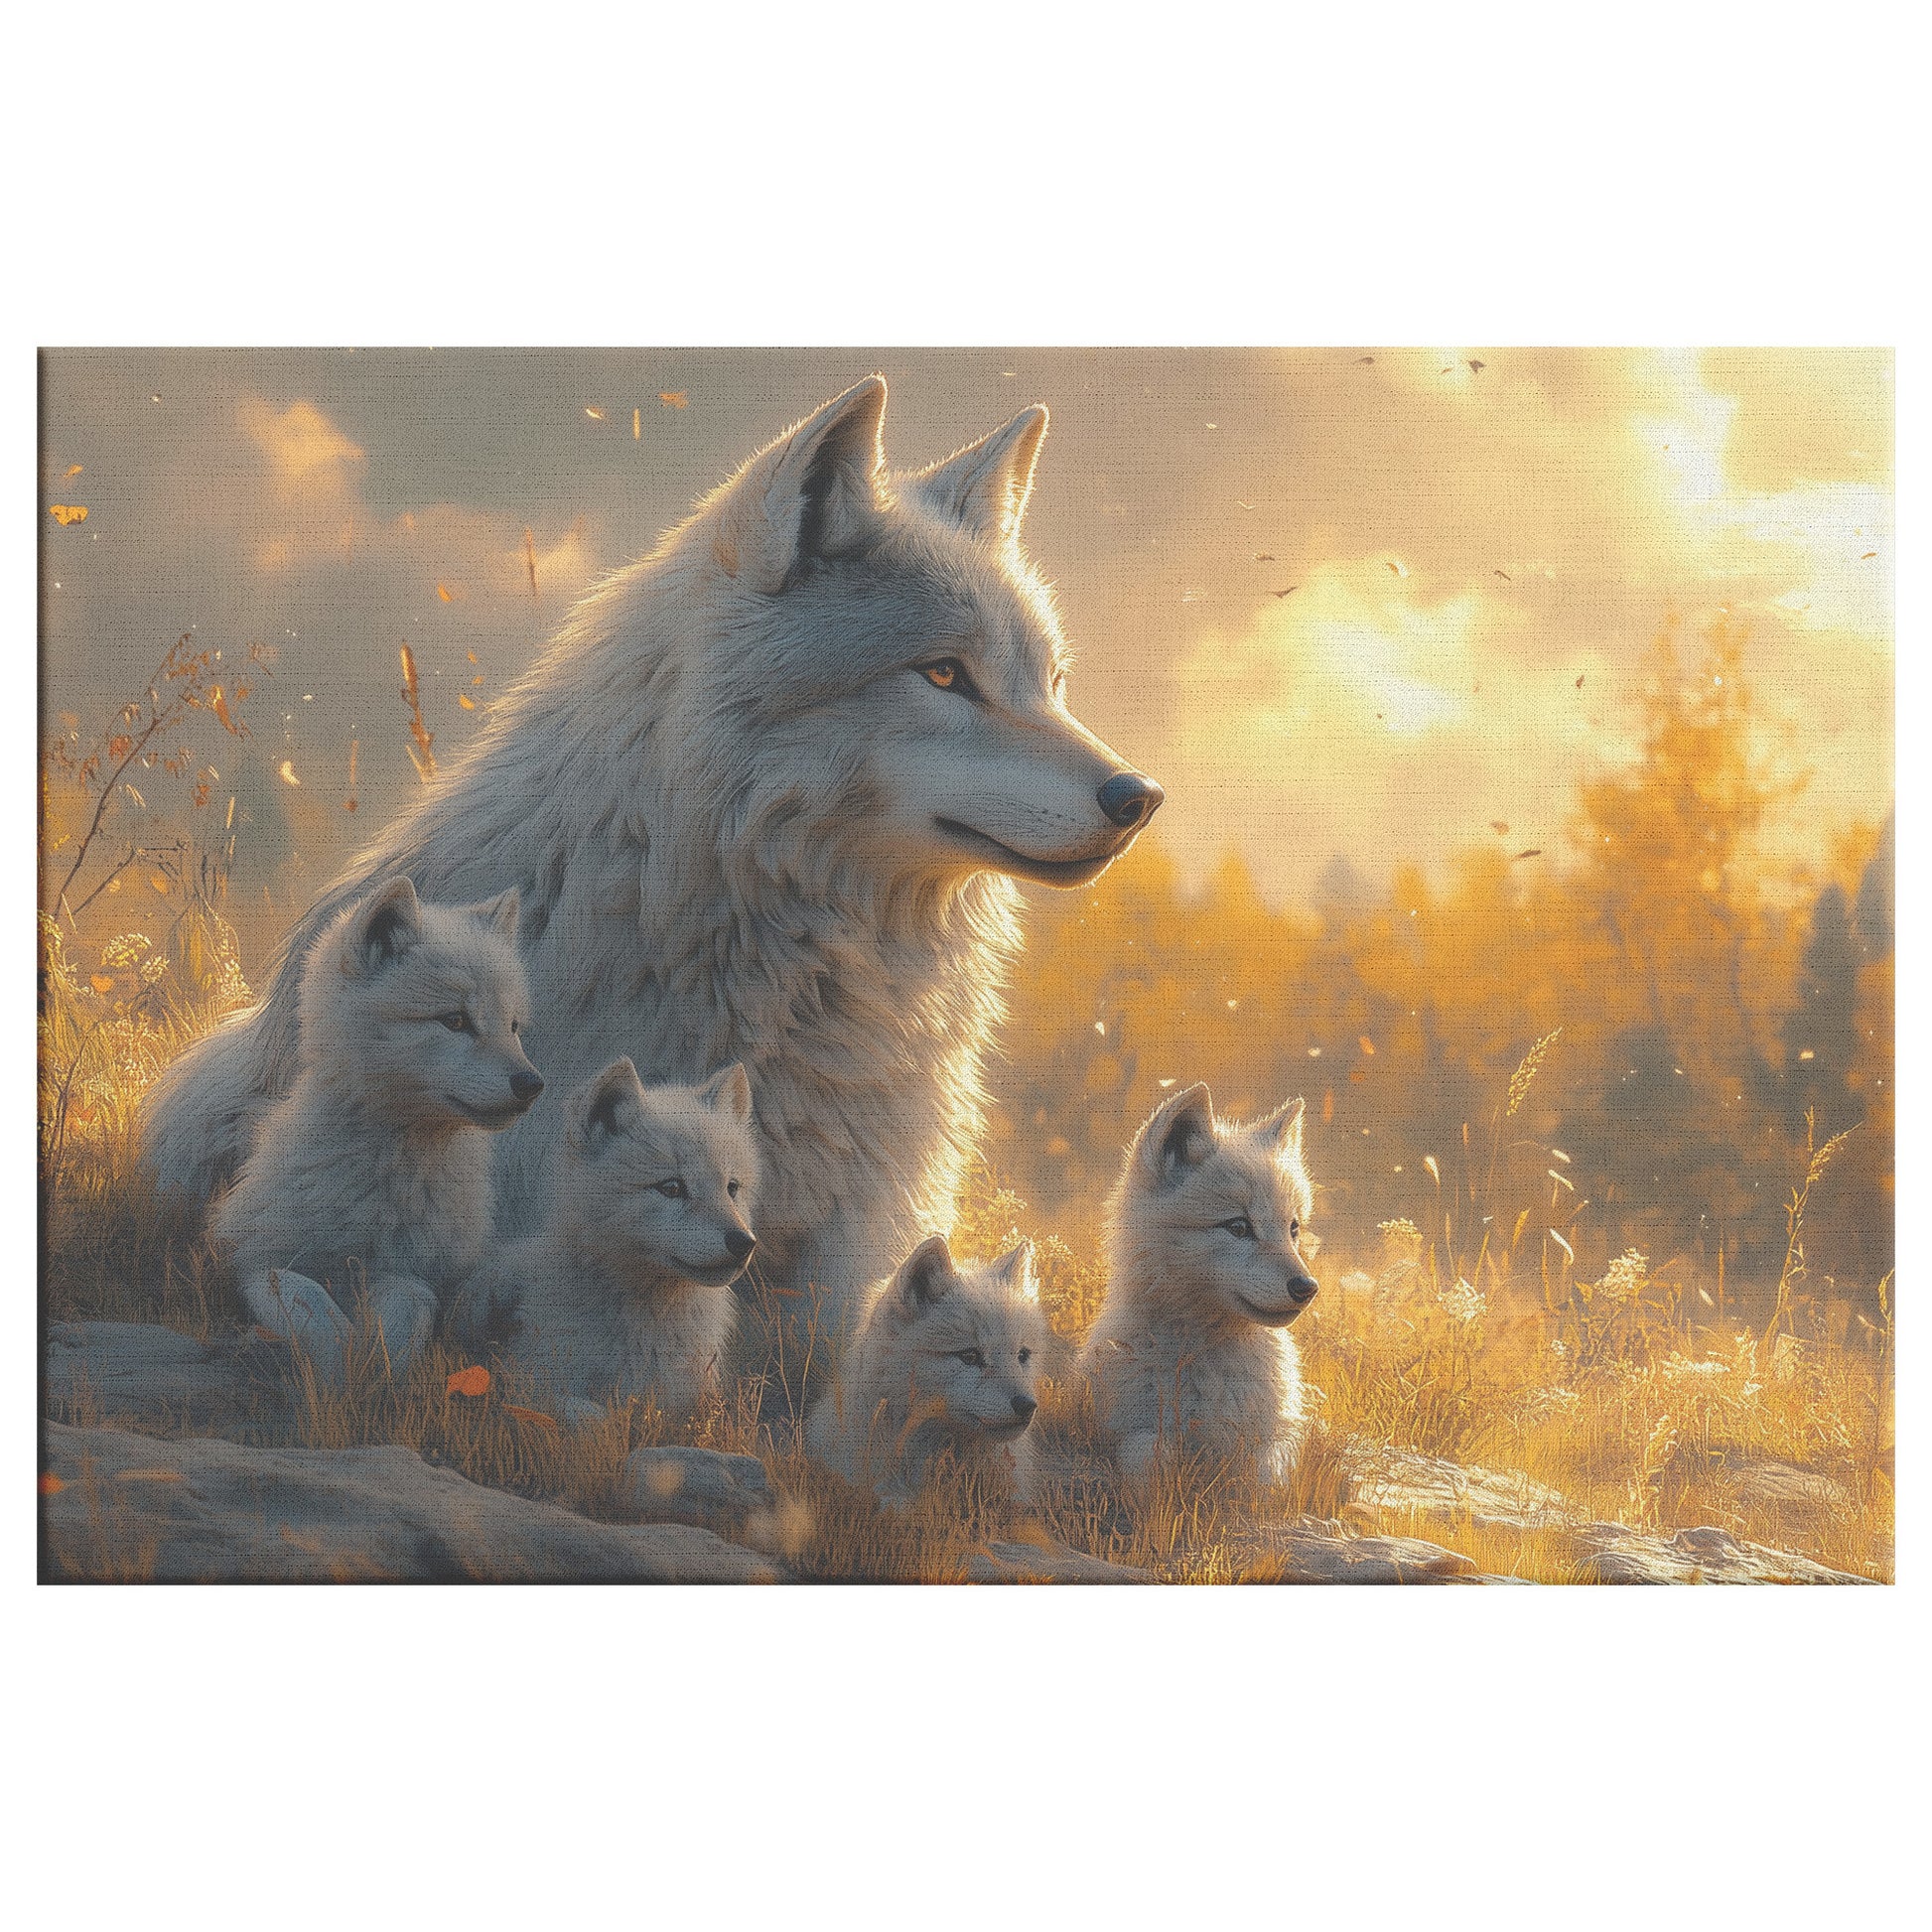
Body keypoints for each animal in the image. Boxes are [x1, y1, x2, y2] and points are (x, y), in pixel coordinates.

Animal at [209, 877, 543, 1385]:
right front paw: (337, 1369)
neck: (386, 1188)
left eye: (513, 1026)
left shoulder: (419, 1276)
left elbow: (413, 1300)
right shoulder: (247, 1262)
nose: (532, 1084)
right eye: (455, 1020)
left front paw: (380, 1368)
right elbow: (302, 1298)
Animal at [460, 1056, 761, 1427]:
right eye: (672, 1187)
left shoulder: (690, 1397)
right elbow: (592, 1415)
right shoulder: (527, 1383)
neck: (645, 1329)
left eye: (731, 1188)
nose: (744, 1242)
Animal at [1077, 1083, 1319, 1486]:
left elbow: (1267, 1475)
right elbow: (1148, 1460)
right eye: (1238, 1226)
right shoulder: (1127, 1431)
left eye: (1293, 1228)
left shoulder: (1280, 1434)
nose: (1307, 1288)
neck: (1207, 1369)